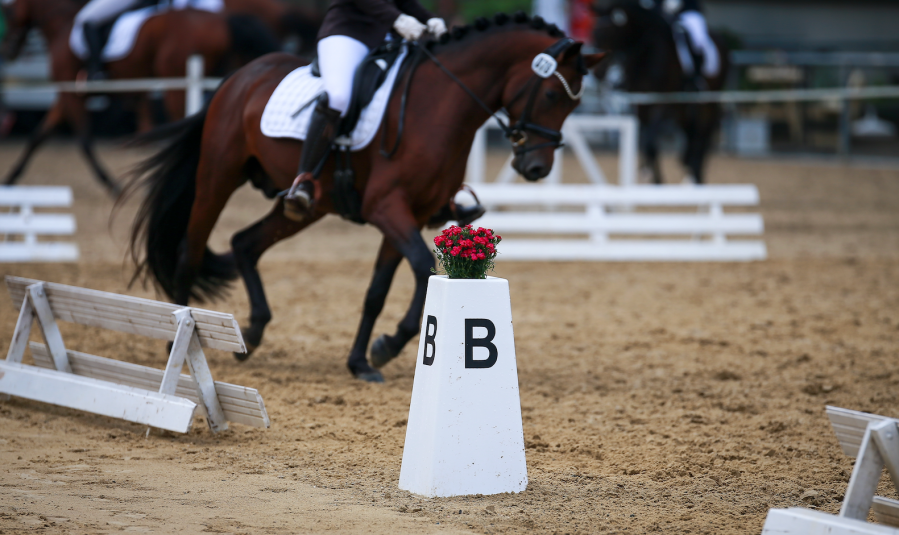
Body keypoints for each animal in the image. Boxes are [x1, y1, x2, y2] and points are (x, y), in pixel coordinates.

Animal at [0, 0, 278, 194]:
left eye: (9, 14)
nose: (9, 52)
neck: (62, 23)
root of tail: (222, 20)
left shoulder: (71, 95)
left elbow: (84, 142)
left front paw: (112, 185)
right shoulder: (67, 95)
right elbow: (38, 137)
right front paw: (10, 178)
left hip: (175, 83)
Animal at [126, 12, 603, 383]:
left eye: (573, 105)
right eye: (551, 94)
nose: (537, 168)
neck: (438, 104)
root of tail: (240, 76)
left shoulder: (411, 213)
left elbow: (376, 290)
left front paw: (363, 360)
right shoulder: (386, 208)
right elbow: (422, 266)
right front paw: (388, 345)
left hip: (308, 208)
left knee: (245, 242)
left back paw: (254, 333)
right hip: (218, 176)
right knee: (190, 250)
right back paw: (180, 337)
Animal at [592, 0, 729, 184]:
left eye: (610, 33)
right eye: (594, 33)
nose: (598, 73)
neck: (648, 52)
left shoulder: (662, 101)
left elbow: (650, 142)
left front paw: (656, 180)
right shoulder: (641, 103)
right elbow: (648, 143)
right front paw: (649, 173)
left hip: (708, 100)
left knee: (704, 131)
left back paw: (696, 171)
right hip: (682, 106)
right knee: (690, 131)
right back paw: (689, 165)